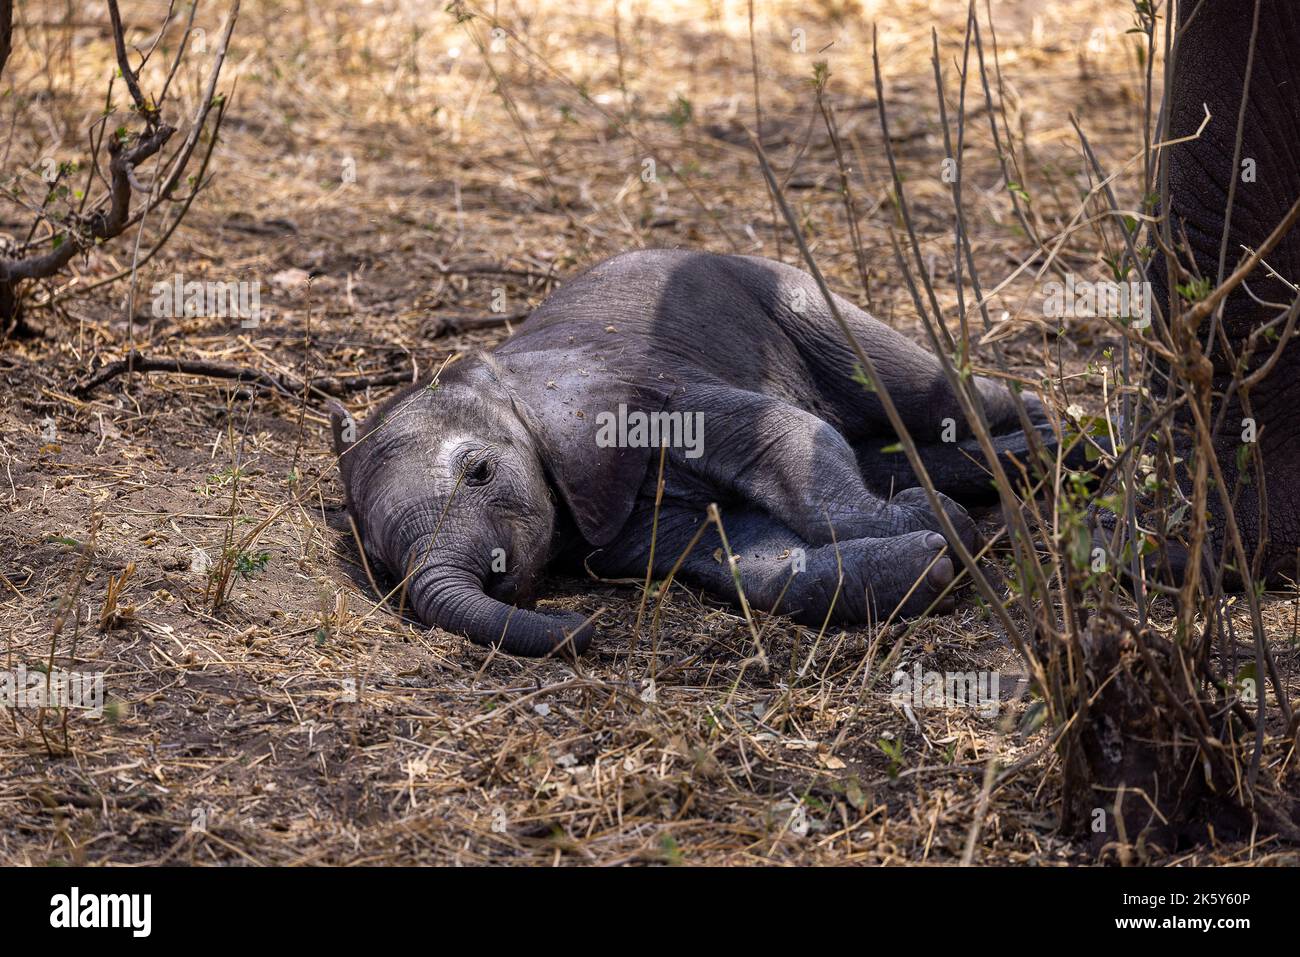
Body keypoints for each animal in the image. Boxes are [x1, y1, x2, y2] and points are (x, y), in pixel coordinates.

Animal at [331, 249, 1058, 656]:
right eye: (378, 561)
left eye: (480, 471)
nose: (584, 629)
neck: (506, 378)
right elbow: (744, 555)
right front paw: (932, 560)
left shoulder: (642, 390)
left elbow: (786, 433)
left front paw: (938, 524)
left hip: (807, 304)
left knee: (924, 394)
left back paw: (1055, 435)